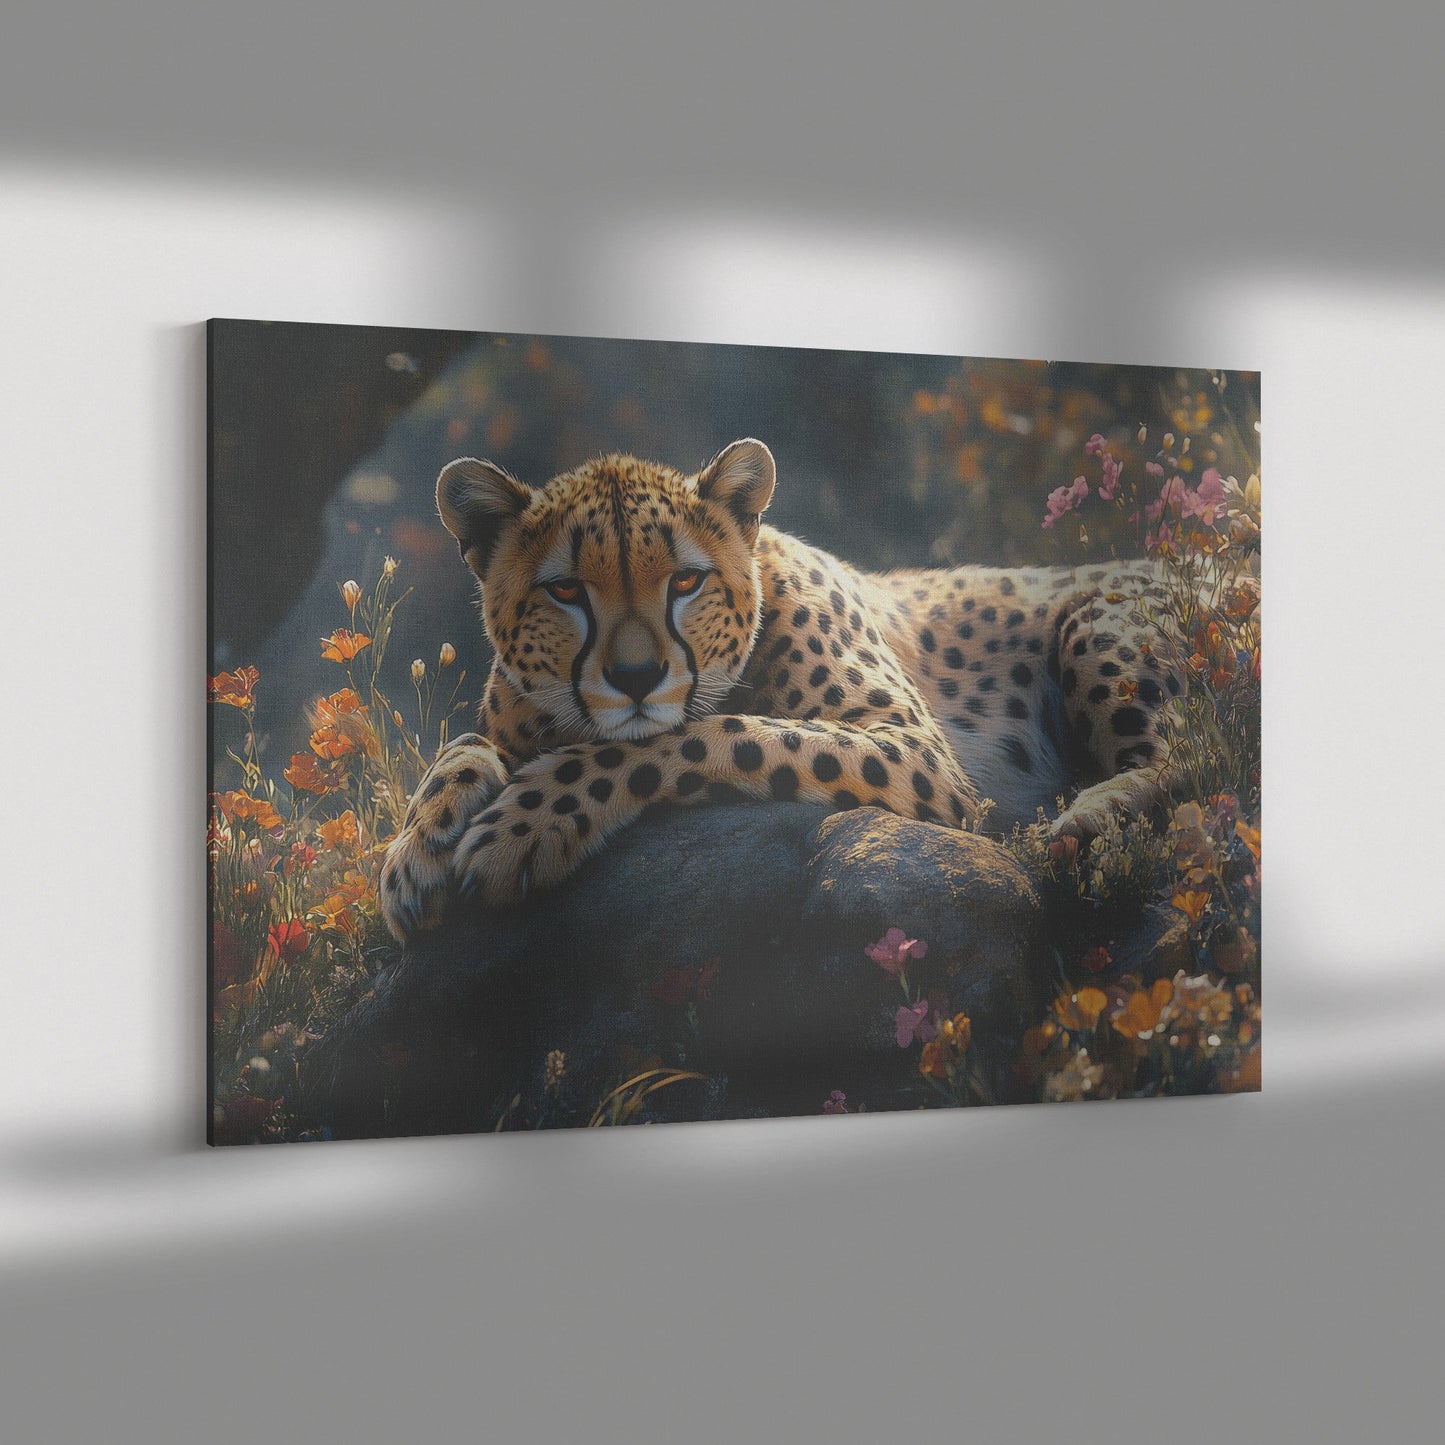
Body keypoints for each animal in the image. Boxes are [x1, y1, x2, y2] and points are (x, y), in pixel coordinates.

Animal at [380, 438, 1189, 941]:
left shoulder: (917, 748)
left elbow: (707, 734)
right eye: (567, 590)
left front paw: (527, 822)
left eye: (685, 581)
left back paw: (1087, 817)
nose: (636, 678)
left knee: (1186, 763)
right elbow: (465, 742)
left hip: (1093, 618)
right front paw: (416, 849)